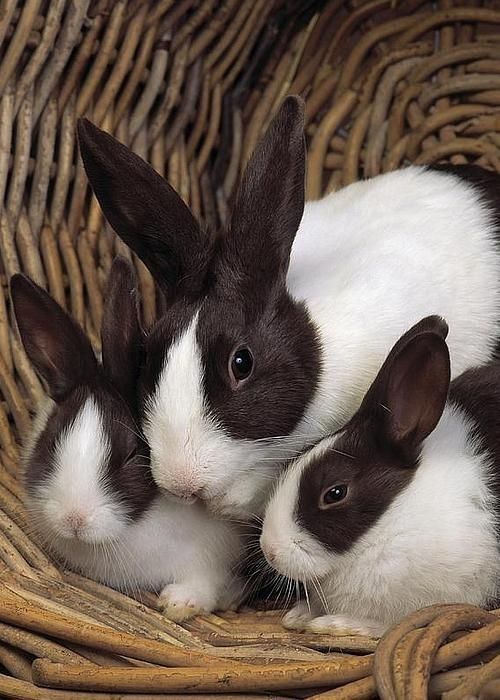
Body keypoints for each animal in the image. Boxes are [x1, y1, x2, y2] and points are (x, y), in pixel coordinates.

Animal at [11, 258, 244, 621]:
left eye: (134, 454)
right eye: (50, 442)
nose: (75, 519)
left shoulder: (217, 555)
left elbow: (207, 582)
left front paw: (178, 604)